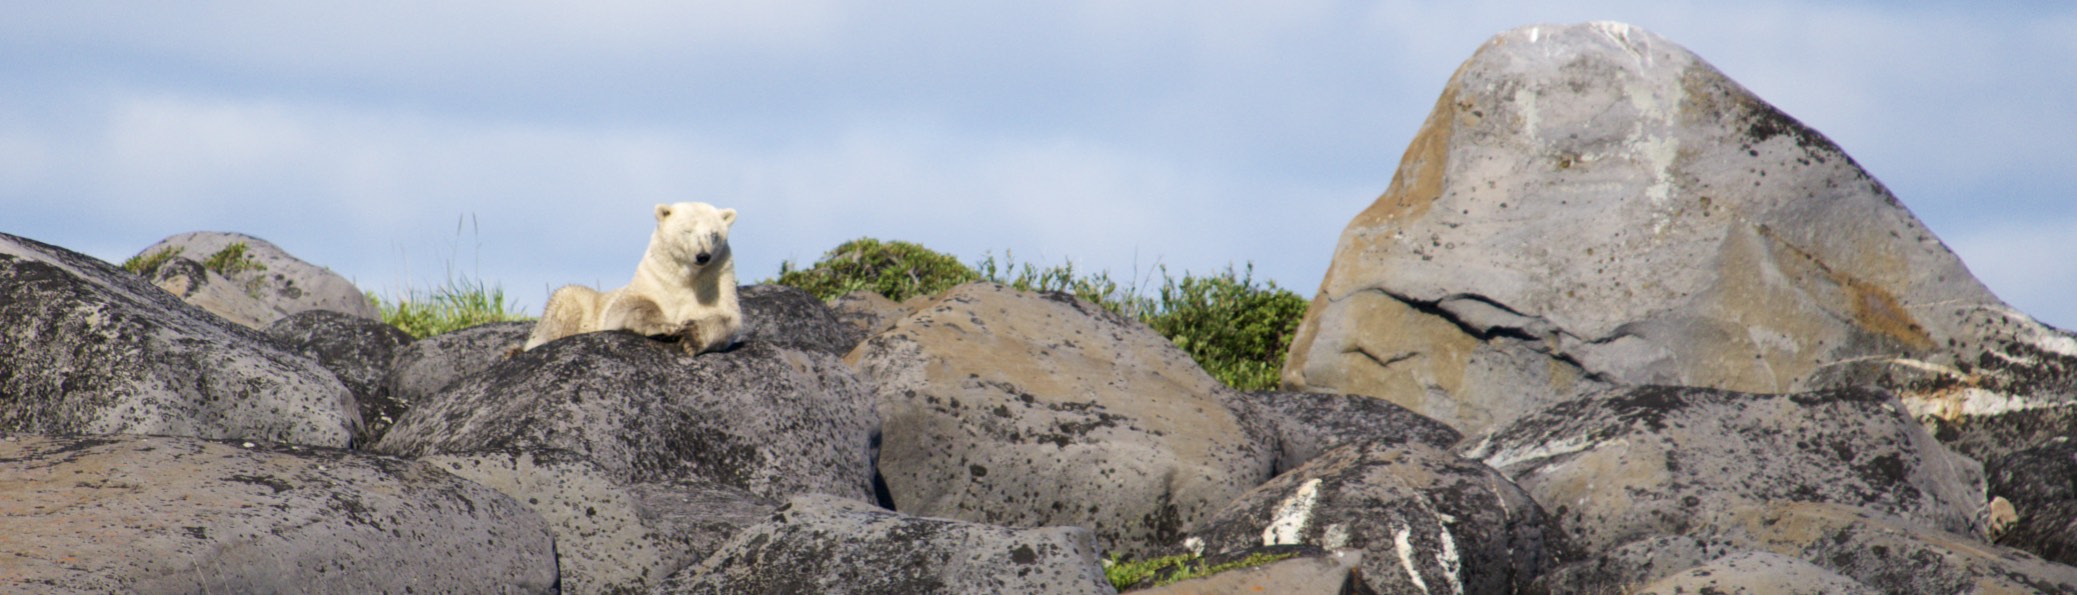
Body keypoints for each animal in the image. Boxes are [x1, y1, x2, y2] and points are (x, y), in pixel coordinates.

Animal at [522, 202, 743, 355]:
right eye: (686, 231)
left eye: (714, 234)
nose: (703, 256)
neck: (687, 278)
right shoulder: (653, 278)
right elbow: (630, 305)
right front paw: (664, 327)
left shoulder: (716, 282)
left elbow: (728, 319)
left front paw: (692, 337)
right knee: (564, 302)